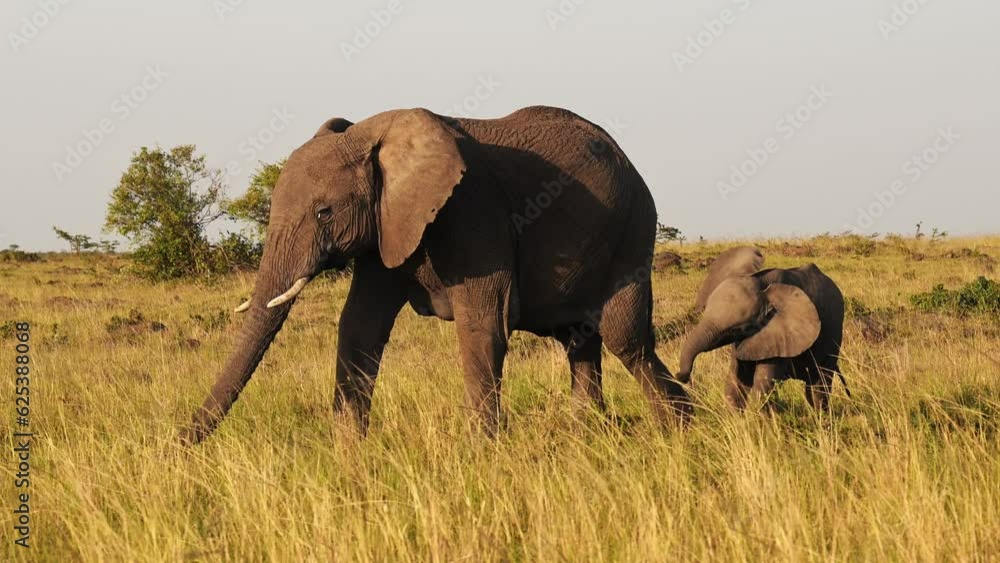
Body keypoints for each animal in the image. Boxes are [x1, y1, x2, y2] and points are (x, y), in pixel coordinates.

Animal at [180, 106, 691, 445]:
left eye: (324, 213)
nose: (175, 446)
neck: (375, 134)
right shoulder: (387, 224)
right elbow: (360, 326)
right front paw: (349, 453)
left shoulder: (473, 210)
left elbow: (482, 326)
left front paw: (482, 454)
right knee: (580, 342)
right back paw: (589, 437)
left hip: (633, 228)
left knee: (625, 338)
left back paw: (679, 429)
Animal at [675, 247, 849, 410]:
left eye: (736, 329)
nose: (682, 376)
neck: (762, 285)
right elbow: (736, 382)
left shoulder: (781, 335)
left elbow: (762, 385)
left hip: (834, 336)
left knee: (820, 384)